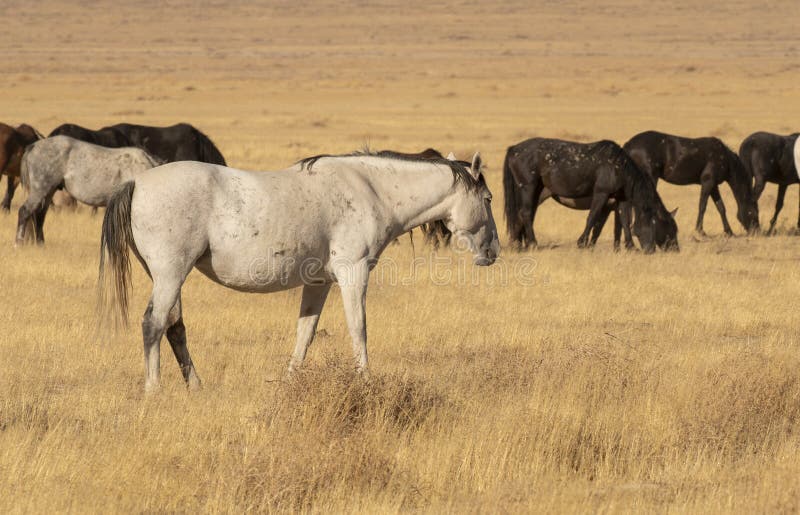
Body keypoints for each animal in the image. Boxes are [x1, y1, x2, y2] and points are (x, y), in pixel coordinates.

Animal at [16, 136, 159, 245]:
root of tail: (33, 146)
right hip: (40, 190)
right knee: (25, 211)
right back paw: (18, 243)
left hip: (48, 191)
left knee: (39, 215)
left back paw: (40, 244)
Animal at [98, 149, 498, 391]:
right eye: (489, 199)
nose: (493, 251)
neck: (372, 190)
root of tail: (136, 183)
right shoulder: (353, 273)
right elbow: (359, 328)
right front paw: (365, 380)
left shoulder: (319, 282)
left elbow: (305, 333)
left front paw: (290, 382)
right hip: (171, 273)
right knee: (153, 324)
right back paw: (154, 390)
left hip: (167, 278)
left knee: (174, 326)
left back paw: (195, 387)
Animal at [503, 138, 678, 253]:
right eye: (669, 228)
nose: (675, 249)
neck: (618, 167)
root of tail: (514, 149)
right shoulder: (601, 194)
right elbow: (593, 218)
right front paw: (582, 243)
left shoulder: (620, 200)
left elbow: (622, 223)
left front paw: (629, 247)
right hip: (528, 188)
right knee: (525, 214)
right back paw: (532, 244)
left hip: (534, 192)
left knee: (522, 216)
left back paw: (519, 245)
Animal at [623, 131, 759, 236]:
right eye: (754, 212)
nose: (756, 231)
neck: (725, 159)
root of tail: (628, 145)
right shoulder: (708, 182)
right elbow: (702, 206)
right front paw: (700, 231)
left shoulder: (714, 185)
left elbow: (721, 207)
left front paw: (729, 231)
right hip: (650, 177)